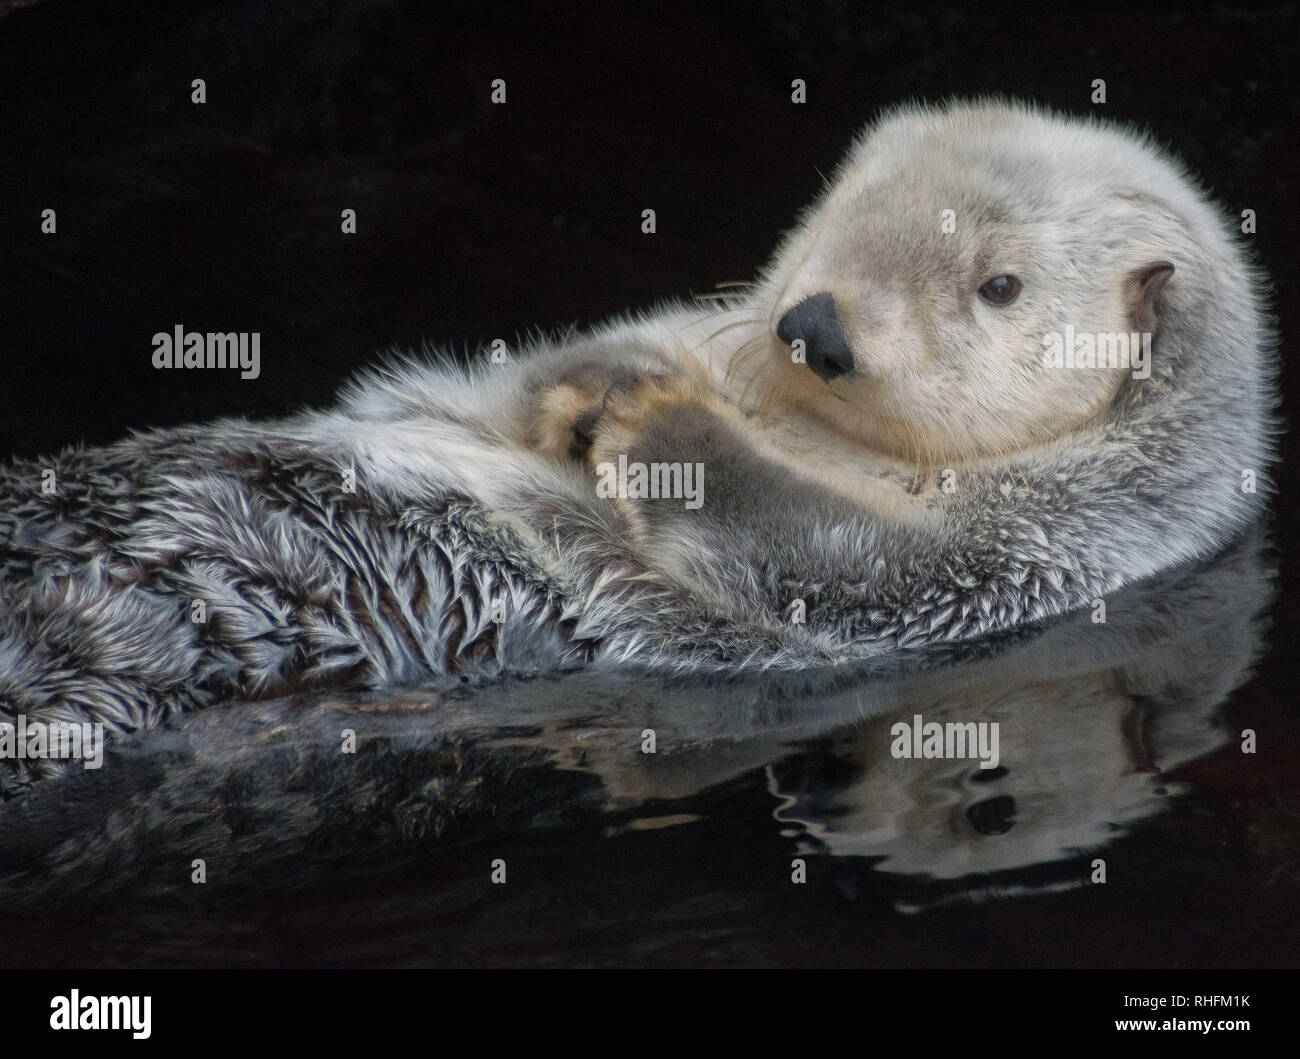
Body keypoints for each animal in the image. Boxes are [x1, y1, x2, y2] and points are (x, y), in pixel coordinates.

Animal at [0, 100, 1274, 788]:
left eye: (998, 285)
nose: (812, 325)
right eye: (839, 213)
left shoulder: (1040, 555)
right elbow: (530, 379)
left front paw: (659, 424)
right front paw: (590, 384)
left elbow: (835, 562)